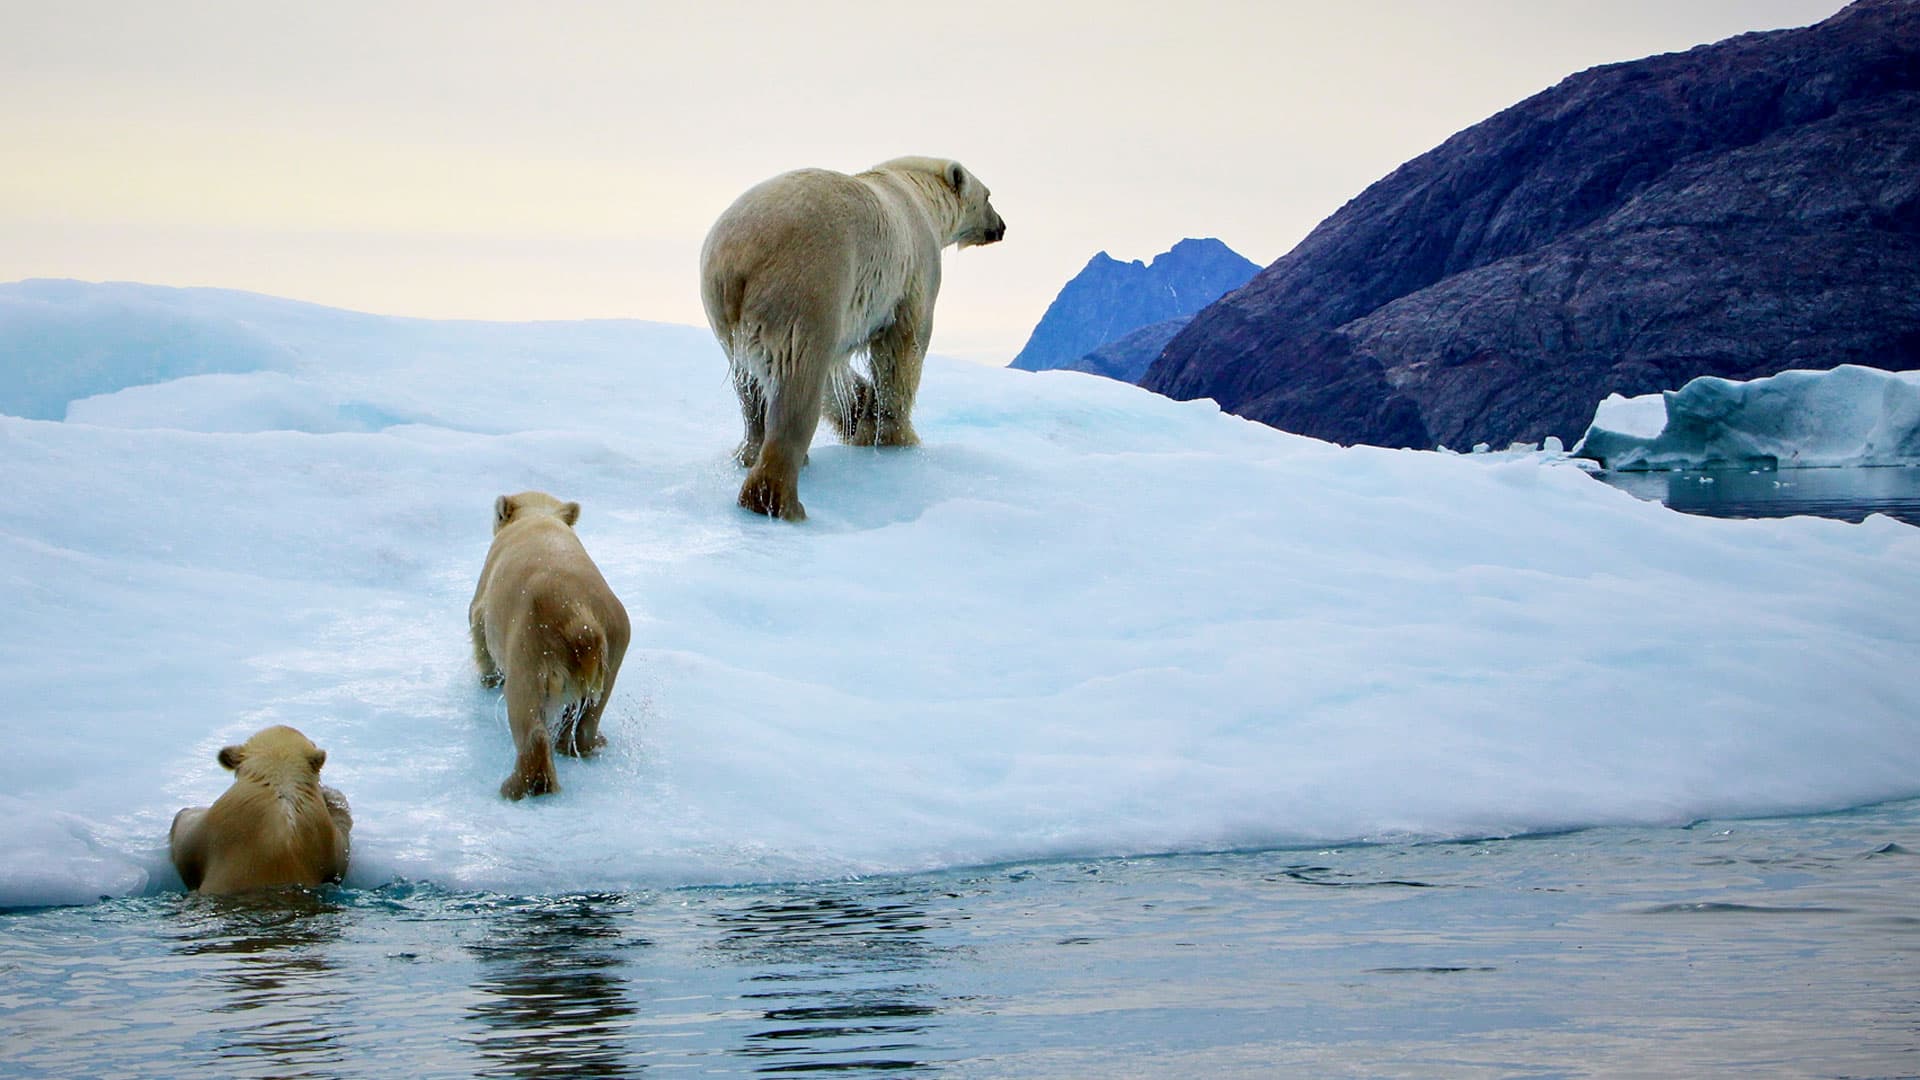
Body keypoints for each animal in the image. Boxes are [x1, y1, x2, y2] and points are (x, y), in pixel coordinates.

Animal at [168, 724, 353, 895]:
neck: (279, 786)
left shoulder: (220, 822)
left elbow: (186, 847)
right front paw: (332, 796)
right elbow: (341, 857)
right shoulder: (323, 837)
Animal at [469, 490, 631, 799]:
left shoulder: (487, 587)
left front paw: (488, 679)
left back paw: (518, 785)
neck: (538, 516)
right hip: (615, 639)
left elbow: (478, 626)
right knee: (589, 713)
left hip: (531, 643)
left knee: (526, 711)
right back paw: (585, 743)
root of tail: (580, 617)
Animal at [700, 156, 1007, 521]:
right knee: (797, 382)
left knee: (751, 385)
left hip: (725, 316)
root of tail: (738, 258)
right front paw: (895, 436)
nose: (1002, 226)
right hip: (807, 287)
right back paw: (779, 499)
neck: (919, 193)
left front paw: (862, 409)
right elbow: (903, 351)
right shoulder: (914, 271)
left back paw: (752, 452)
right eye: (988, 195)